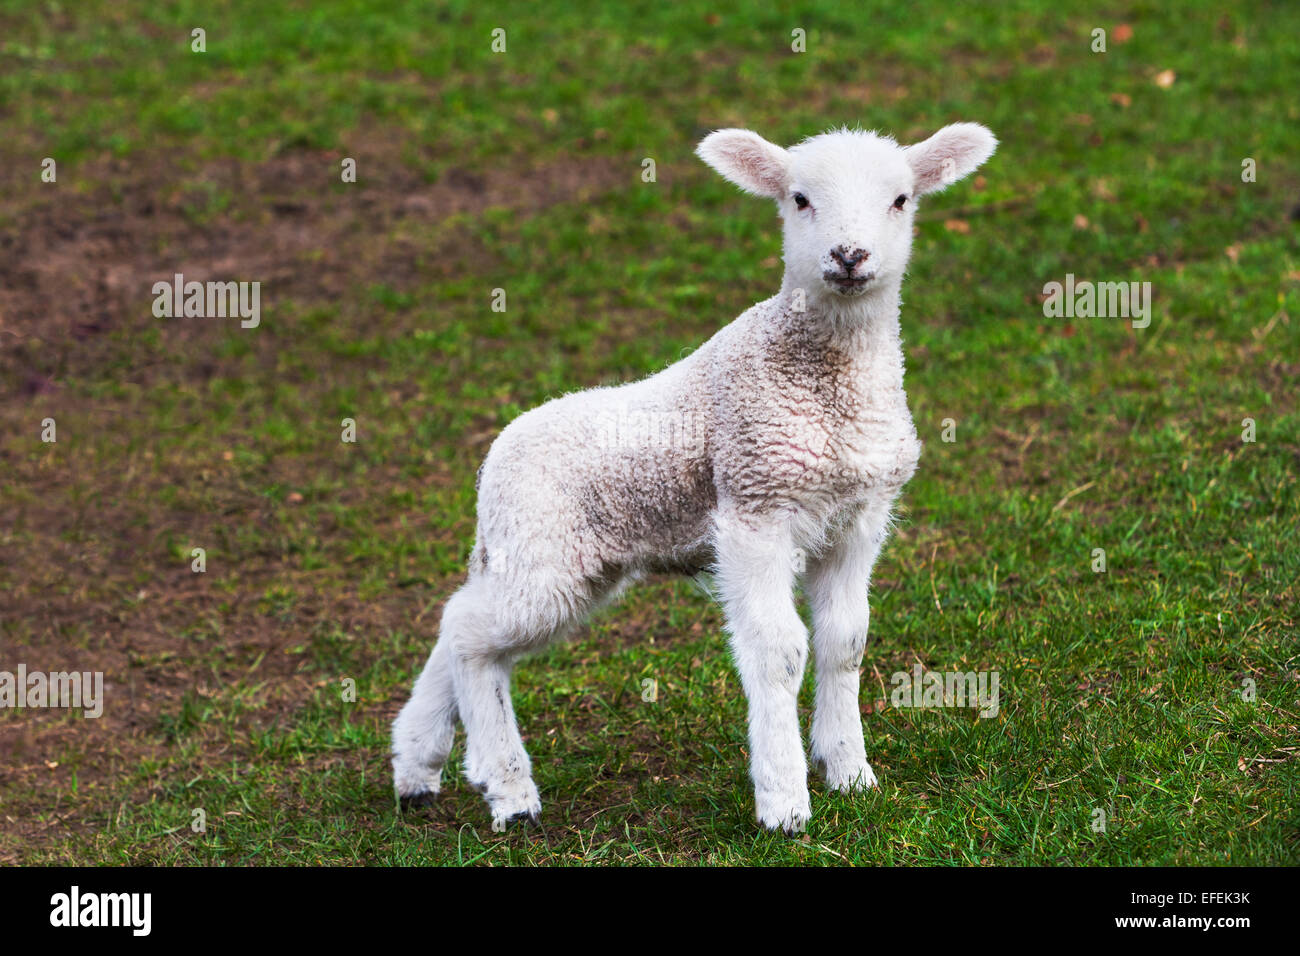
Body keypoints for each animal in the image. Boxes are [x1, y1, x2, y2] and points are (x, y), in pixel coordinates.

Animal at [392, 122, 997, 833]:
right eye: (798, 199)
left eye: (901, 199)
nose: (849, 255)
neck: (827, 385)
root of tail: (491, 465)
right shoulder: (754, 508)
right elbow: (780, 651)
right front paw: (784, 801)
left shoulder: (858, 517)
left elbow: (844, 641)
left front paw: (851, 772)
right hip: (547, 551)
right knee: (469, 634)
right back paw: (510, 791)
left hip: (545, 555)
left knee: (458, 618)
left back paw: (418, 766)